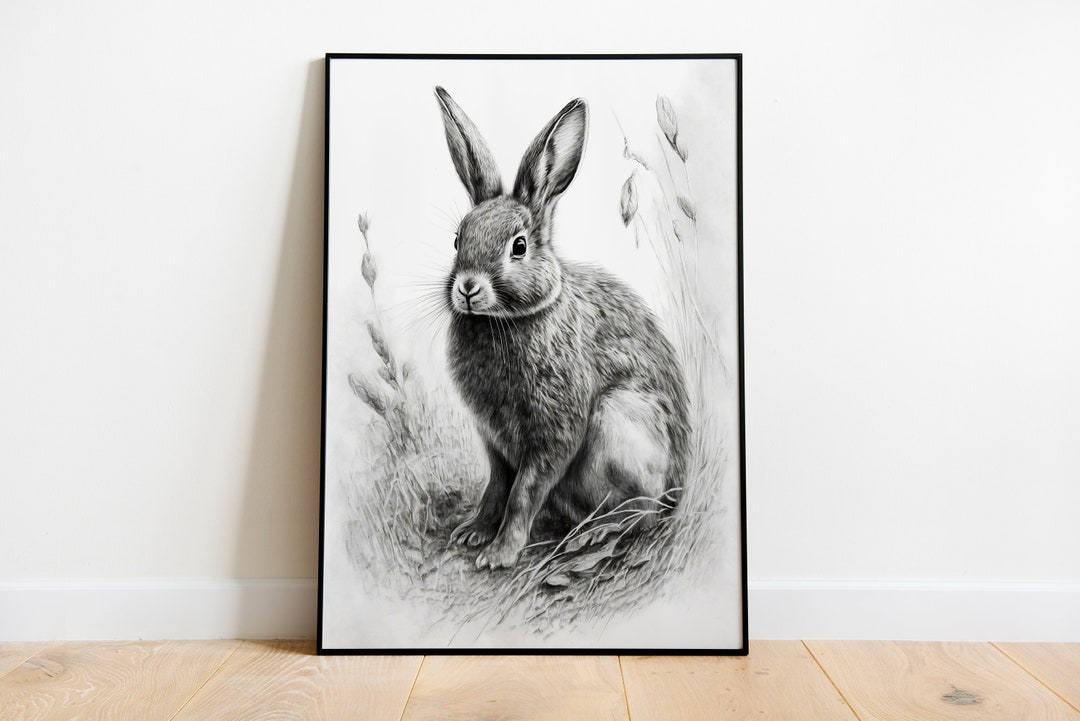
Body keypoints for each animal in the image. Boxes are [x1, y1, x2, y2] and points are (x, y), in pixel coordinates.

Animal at [435, 87, 690, 570]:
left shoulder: (556, 428)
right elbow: (497, 487)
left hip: (619, 422)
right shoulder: (494, 442)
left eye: (519, 247)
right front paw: (473, 532)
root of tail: (679, 492)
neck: (507, 320)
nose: (468, 288)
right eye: (457, 240)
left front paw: (500, 554)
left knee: (642, 515)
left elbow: (523, 493)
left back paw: (591, 538)